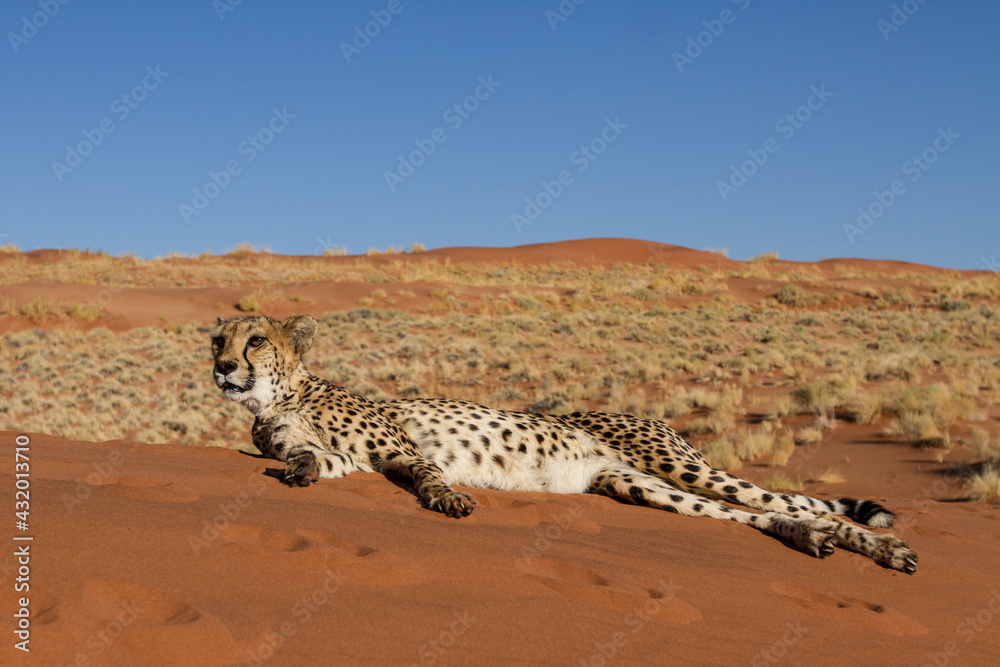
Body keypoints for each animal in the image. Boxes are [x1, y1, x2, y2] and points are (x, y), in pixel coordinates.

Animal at [211, 314, 917, 573]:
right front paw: (299, 471)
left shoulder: (405, 450)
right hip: (640, 487)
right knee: (752, 515)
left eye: (255, 340)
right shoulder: (346, 457)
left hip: (678, 468)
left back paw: (877, 544)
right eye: (219, 339)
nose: (220, 368)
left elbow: (431, 476)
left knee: (779, 503)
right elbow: (312, 458)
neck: (281, 395)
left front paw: (451, 501)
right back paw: (820, 541)